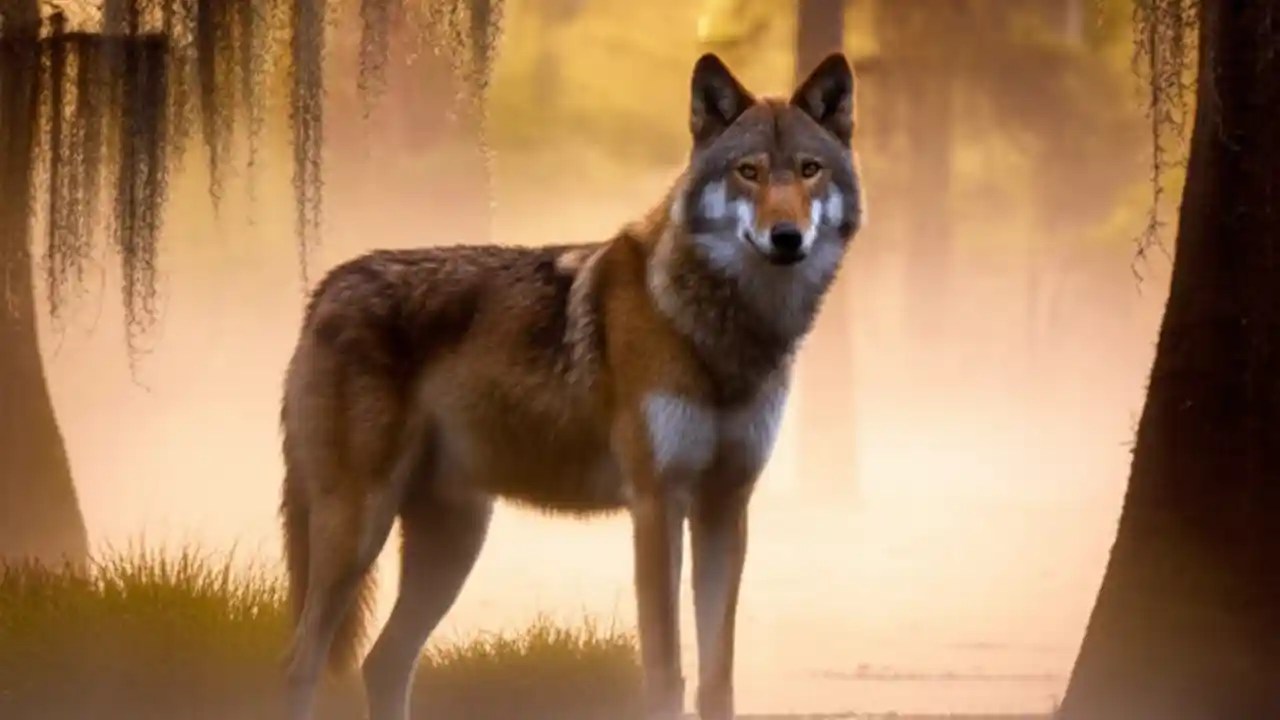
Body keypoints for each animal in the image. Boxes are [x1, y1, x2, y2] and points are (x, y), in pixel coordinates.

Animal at [279, 51, 863, 720]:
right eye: (749, 171)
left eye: (809, 170)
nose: (786, 237)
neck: (719, 330)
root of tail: (326, 287)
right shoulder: (657, 504)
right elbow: (666, 672)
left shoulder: (725, 507)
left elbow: (717, 678)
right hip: (359, 530)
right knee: (301, 666)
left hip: (453, 543)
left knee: (384, 663)